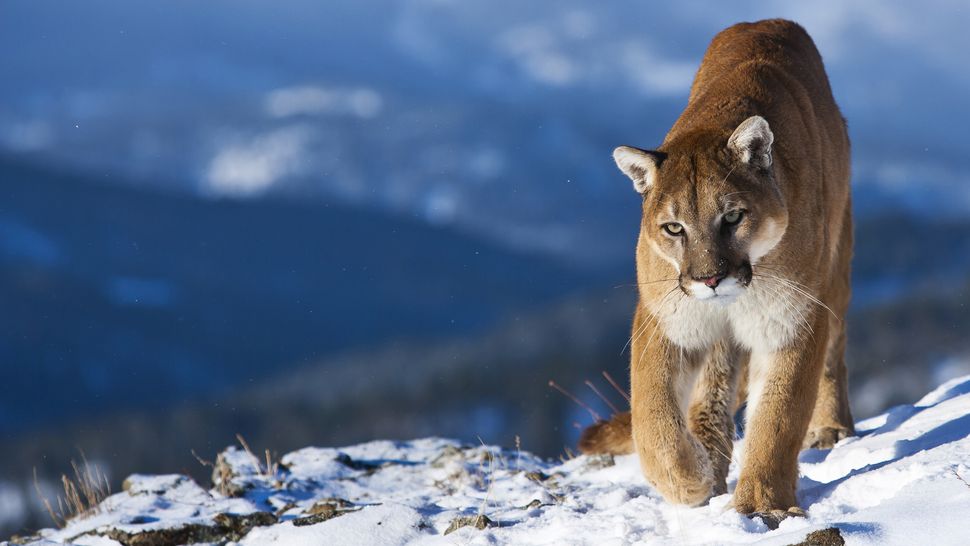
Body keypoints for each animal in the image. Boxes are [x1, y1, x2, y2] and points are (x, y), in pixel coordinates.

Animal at [578, 19, 855, 523]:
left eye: (732, 217)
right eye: (673, 227)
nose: (709, 279)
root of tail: (767, 22)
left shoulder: (793, 320)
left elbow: (778, 417)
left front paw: (762, 505)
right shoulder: (666, 317)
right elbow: (651, 413)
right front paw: (687, 480)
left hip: (837, 268)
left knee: (834, 354)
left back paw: (830, 428)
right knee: (710, 394)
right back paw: (708, 462)